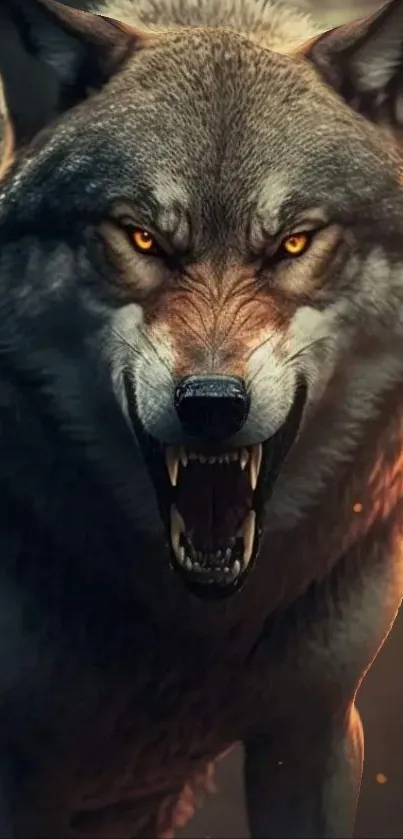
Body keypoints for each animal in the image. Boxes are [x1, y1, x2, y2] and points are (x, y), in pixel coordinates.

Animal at [0, 0, 403, 836]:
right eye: (143, 237)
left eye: (292, 242)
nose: (212, 403)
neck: (194, 633)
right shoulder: (24, 767)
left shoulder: (312, 731)